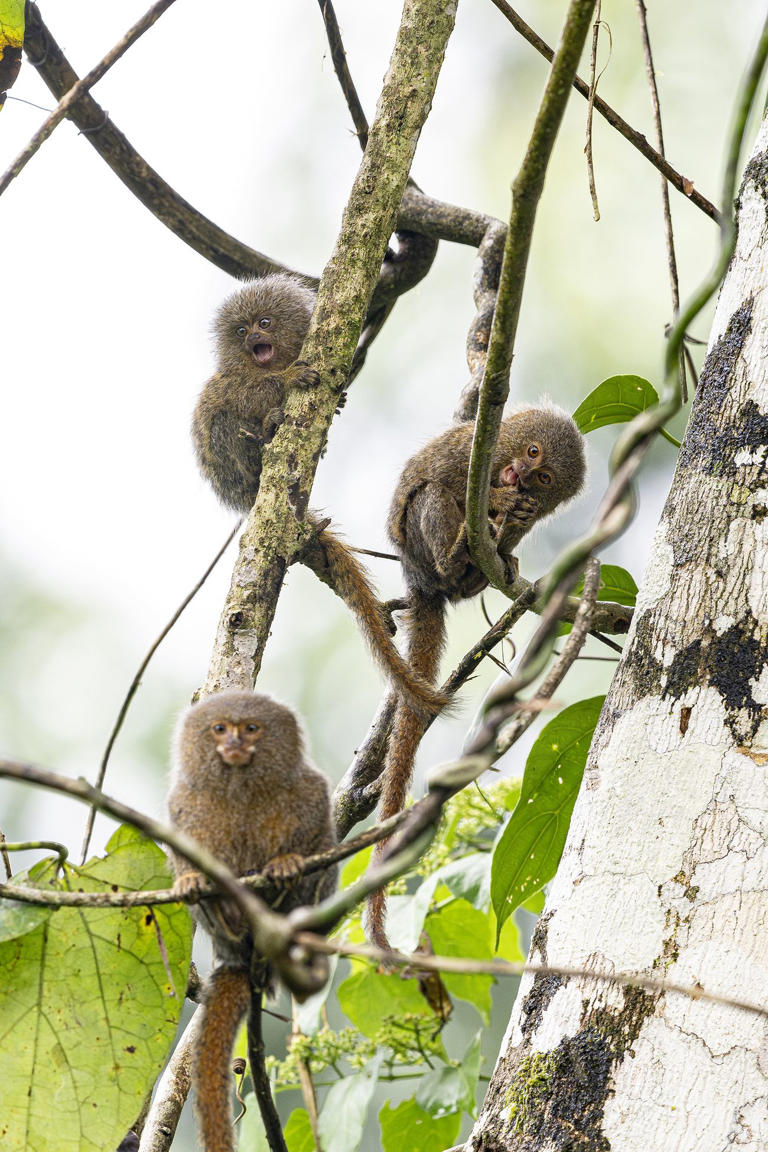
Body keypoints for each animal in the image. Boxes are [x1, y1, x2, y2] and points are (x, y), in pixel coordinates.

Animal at [167, 690, 337, 1152]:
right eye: (219, 729)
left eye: (251, 728)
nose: (234, 744)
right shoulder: (183, 805)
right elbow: (183, 856)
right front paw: (192, 879)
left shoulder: (312, 793)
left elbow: (319, 843)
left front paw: (287, 863)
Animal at [191, 272, 446, 718]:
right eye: (240, 331)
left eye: (265, 323)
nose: (252, 337)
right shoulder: (233, 381)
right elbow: (242, 393)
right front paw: (288, 380)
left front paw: (334, 399)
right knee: (224, 422)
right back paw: (267, 433)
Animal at [366, 405, 587, 948]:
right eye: (532, 451)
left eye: (545, 478)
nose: (522, 474)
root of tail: (419, 580)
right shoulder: (468, 453)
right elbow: (426, 483)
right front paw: (499, 500)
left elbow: (522, 518)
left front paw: (511, 521)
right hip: (420, 548)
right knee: (431, 499)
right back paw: (455, 555)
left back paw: (482, 567)